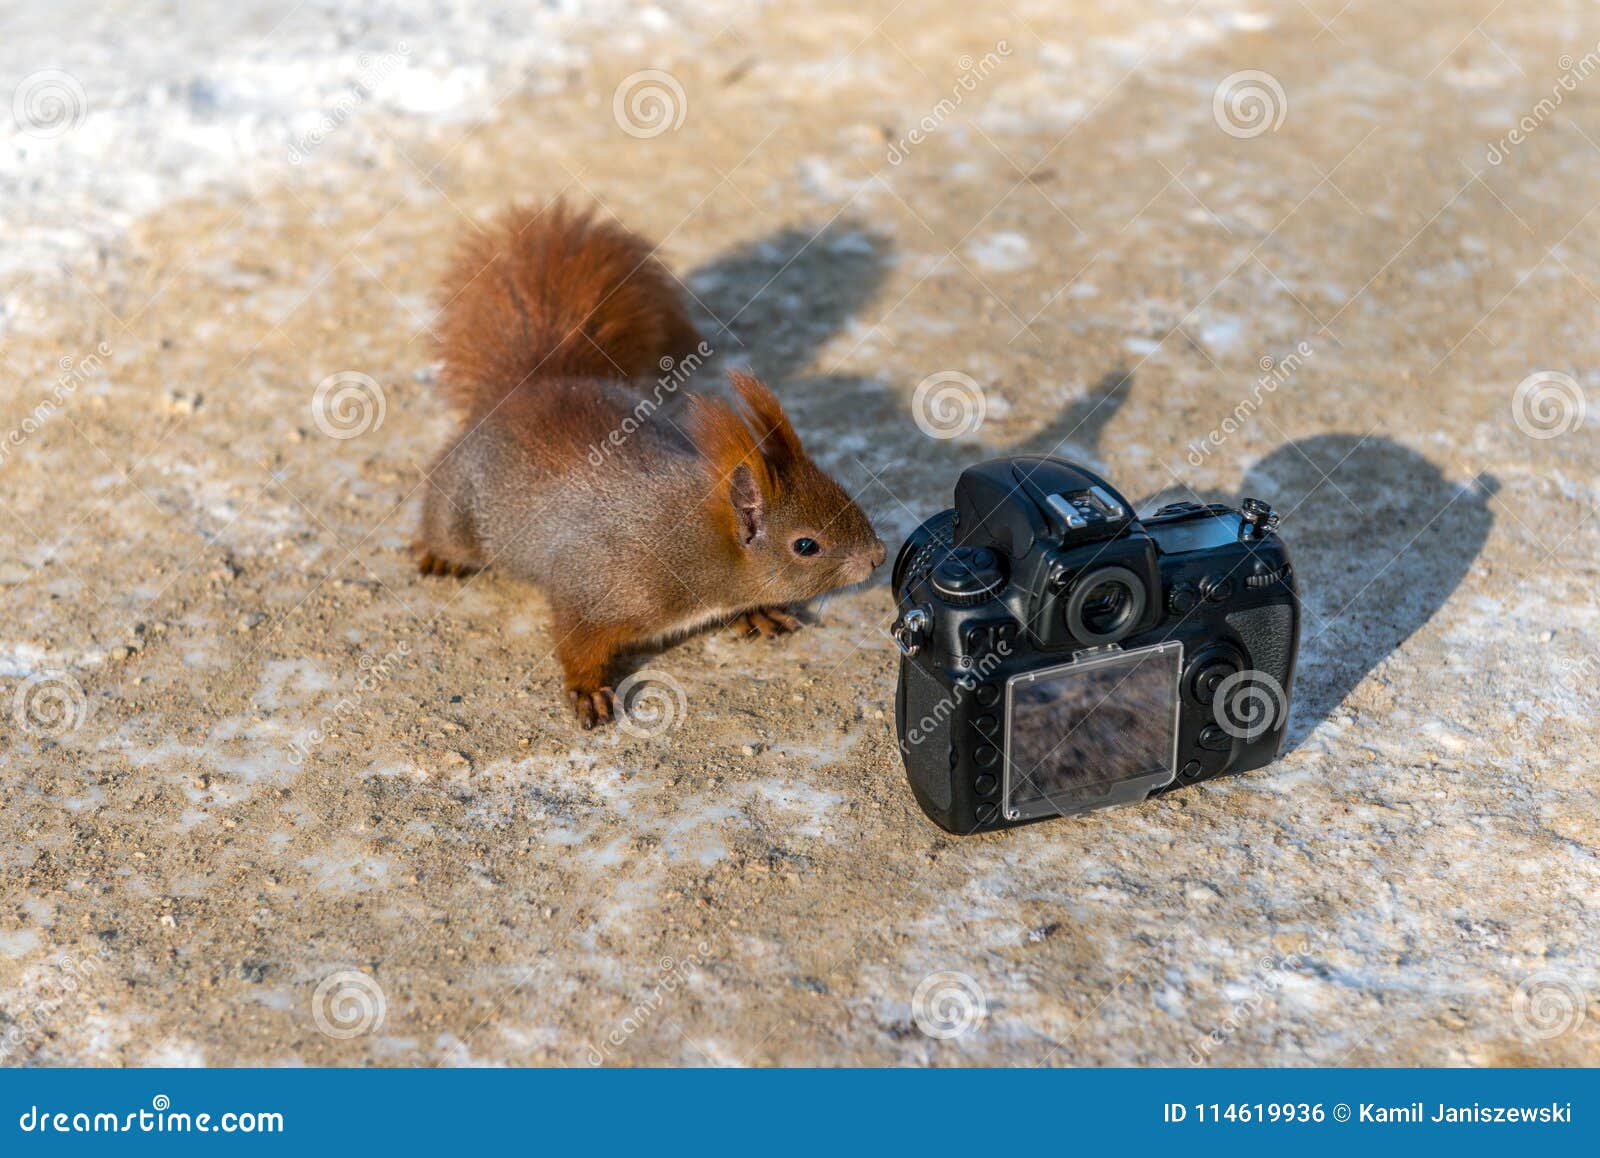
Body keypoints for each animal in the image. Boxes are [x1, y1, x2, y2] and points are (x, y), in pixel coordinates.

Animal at [415, 201, 886, 728]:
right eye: (806, 545)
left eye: (845, 492)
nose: (878, 557)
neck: (695, 544)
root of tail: (538, 381)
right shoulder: (599, 589)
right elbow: (576, 640)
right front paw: (587, 690)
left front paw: (755, 611)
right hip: (460, 507)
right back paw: (434, 552)